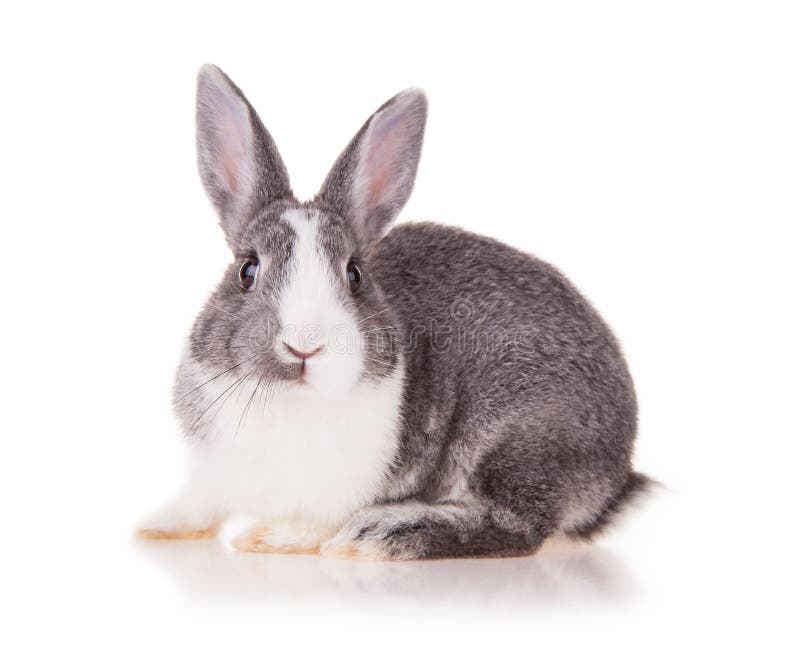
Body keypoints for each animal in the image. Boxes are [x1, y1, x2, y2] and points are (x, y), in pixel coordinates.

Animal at [138, 64, 651, 560]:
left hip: (518, 436)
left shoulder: (337, 492)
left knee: (516, 525)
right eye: (247, 270)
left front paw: (270, 537)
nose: (304, 346)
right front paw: (155, 526)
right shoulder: (212, 475)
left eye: (355, 275)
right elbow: (200, 505)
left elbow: (314, 525)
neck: (290, 403)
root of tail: (615, 479)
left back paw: (382, 534)